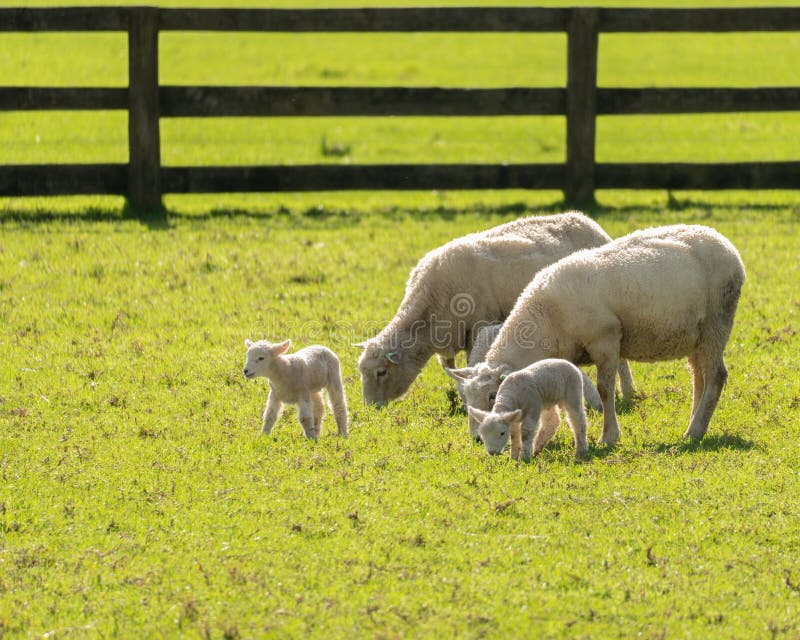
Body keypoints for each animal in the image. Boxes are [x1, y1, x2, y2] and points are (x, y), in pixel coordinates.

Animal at [355, 211, 635, 408]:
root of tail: (587, 221)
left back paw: (627, 393)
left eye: (381, 372)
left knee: (620, 359)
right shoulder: (448, 336)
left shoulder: (479, 325)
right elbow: (449, 366)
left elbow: (472, 361)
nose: (371, 407)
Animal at [452, 224, 745, 445]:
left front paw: (609, 436)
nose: (477, 439)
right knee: (699, 376)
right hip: (697, 334)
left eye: (493, 396)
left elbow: (605, 389)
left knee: (716, 376)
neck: (545, 320)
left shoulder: (605, 340)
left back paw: (694, 431)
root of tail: (725, 244)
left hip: (717, 321)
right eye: (466, 399)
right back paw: (696, 424)